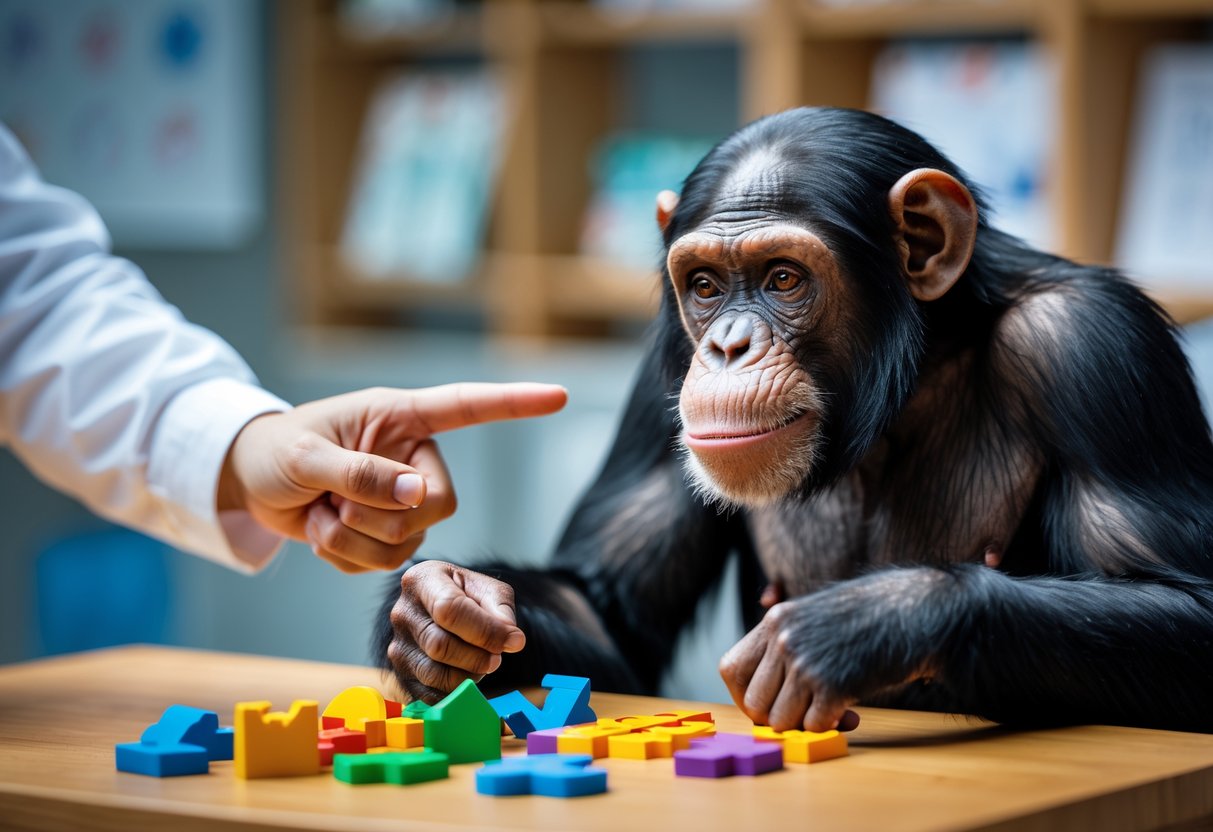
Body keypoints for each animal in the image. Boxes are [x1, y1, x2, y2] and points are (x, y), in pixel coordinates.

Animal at [376, 106, 1213, 734]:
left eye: (782, 278)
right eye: (704, 285)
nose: (725, 345)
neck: (909, 377)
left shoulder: (1096, 349)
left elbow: (1190, 605)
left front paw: (869, 624)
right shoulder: (661, 371)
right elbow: (614, 620)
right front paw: (438, 615)